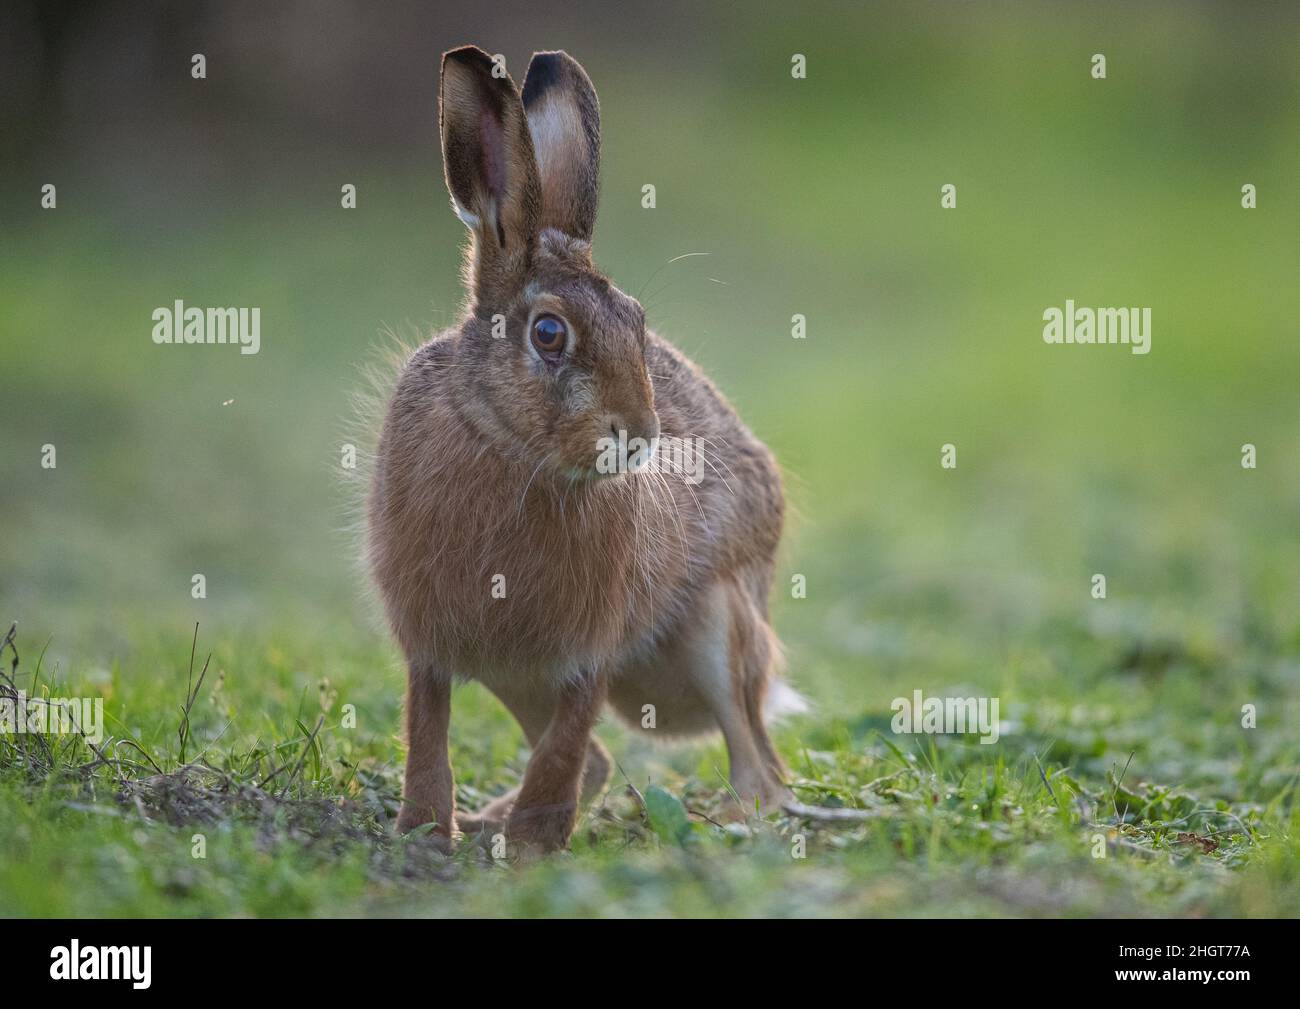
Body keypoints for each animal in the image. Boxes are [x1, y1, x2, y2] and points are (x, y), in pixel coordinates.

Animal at [367, 45, 801, 854]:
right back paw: (487, 818)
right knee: (604, 759)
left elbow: (565, 744)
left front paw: (534, 847)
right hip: (514, 674)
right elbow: (428, 728)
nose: (642, 432)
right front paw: (424, 831)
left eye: (637, 321)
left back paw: (733, 821)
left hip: (721, 622)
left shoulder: (590, 645)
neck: (509, 449)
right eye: (548, 334)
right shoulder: (431, 641)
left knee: (758, 760)